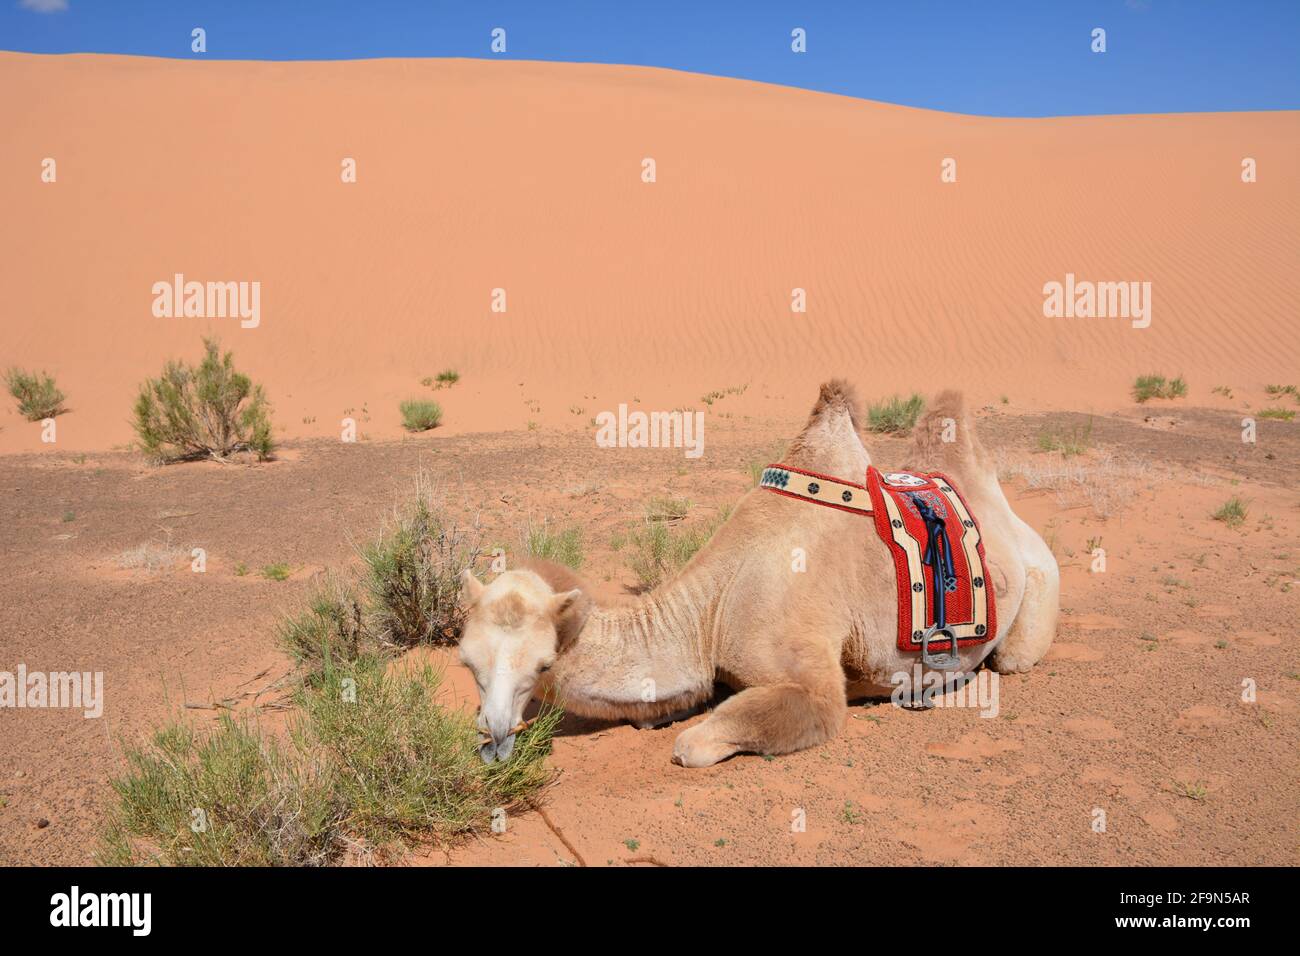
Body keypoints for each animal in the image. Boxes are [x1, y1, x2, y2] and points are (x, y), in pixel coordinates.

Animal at [458, 381, 1059, 767]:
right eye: (467, 661)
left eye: (542, 664)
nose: (492, 737)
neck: (712, 610)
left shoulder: (811, 677)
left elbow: (693, 746)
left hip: (1038, 588)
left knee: (1012, 657)